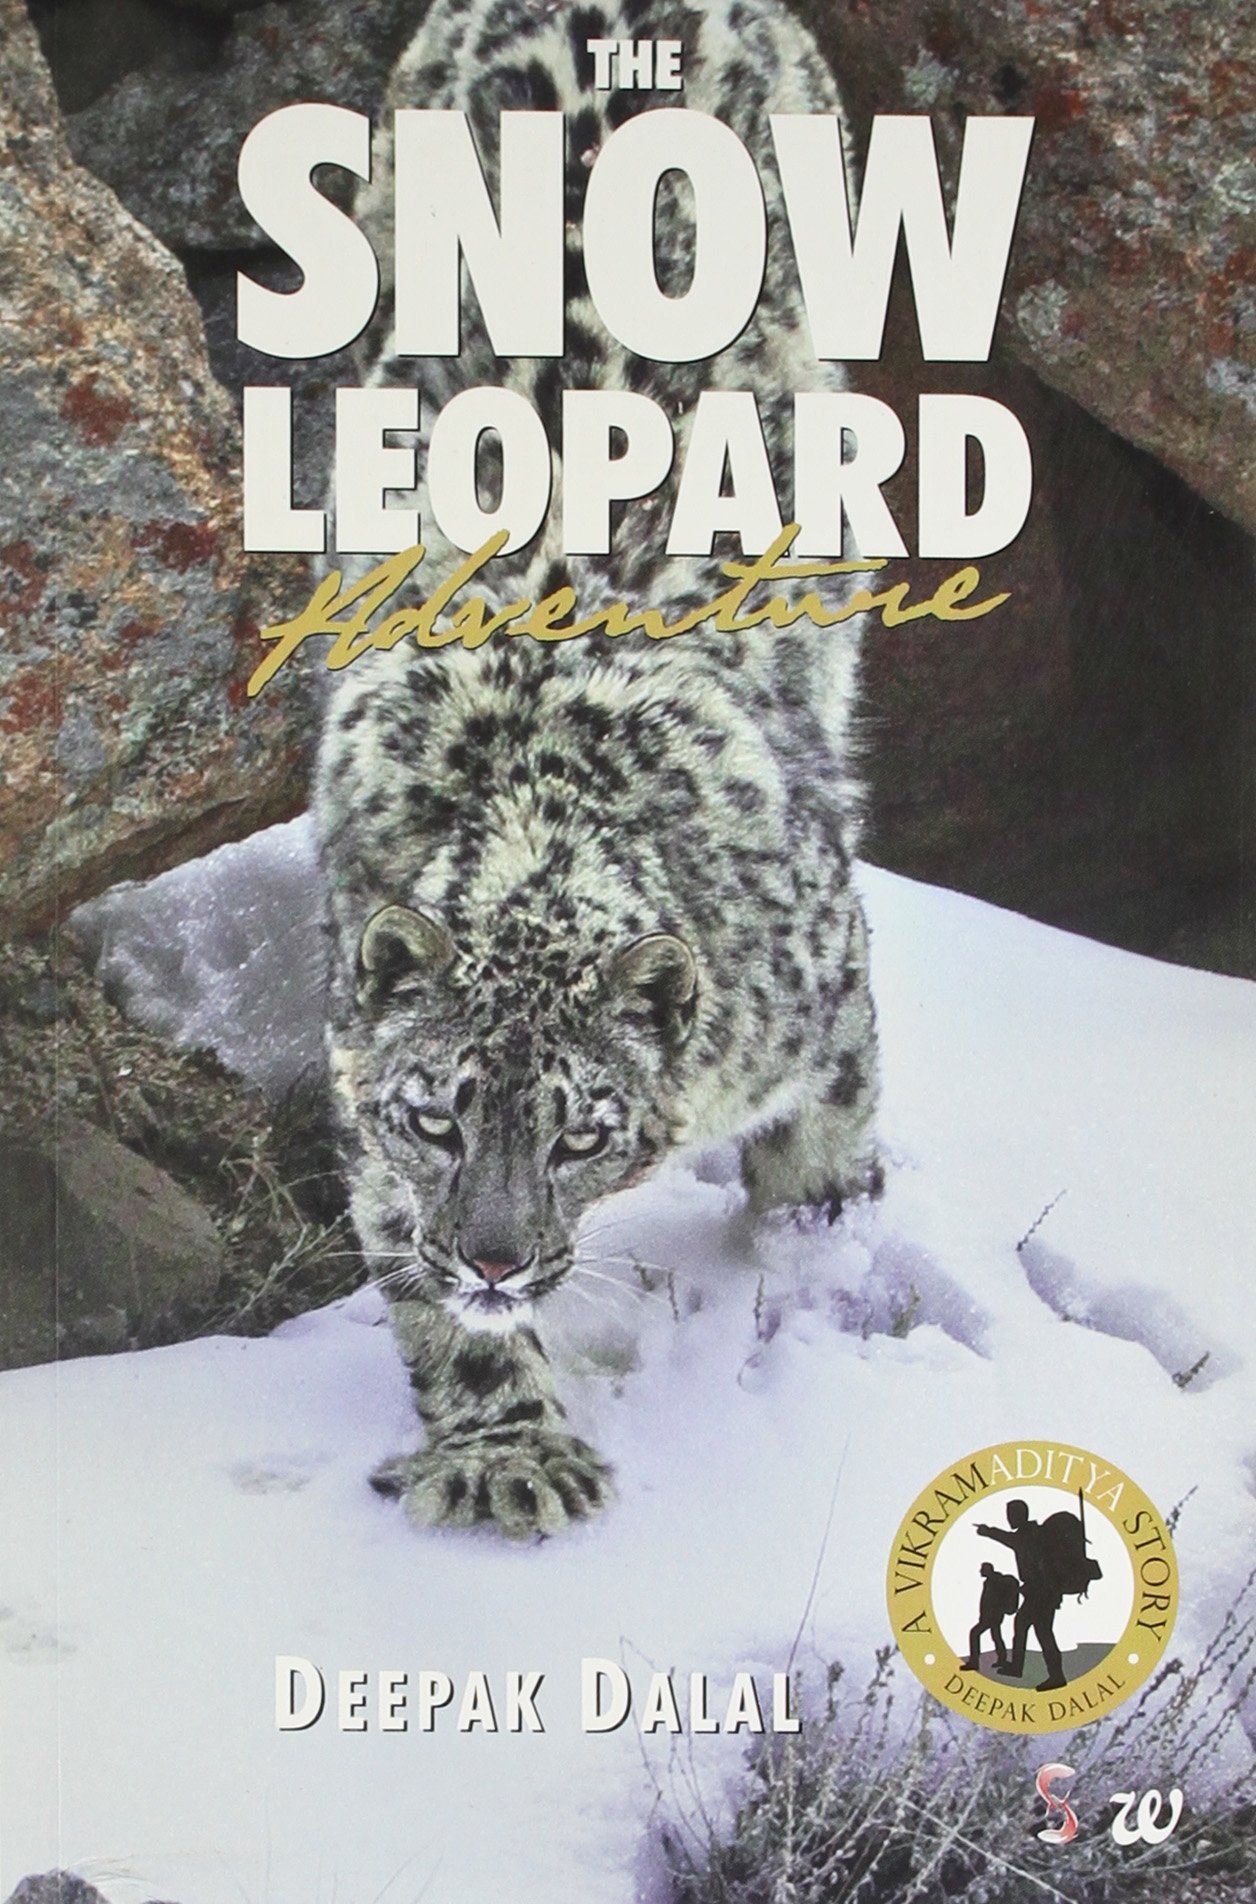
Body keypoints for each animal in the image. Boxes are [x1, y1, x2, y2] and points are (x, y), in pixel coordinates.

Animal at [315, 0, 881, 1540]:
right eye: (435, 1119)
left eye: (580, 1133)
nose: (496, 1257)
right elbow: (415, 1287)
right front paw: (507, 1448)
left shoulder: (831, 978)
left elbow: (834, 1108)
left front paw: (821, 1227)